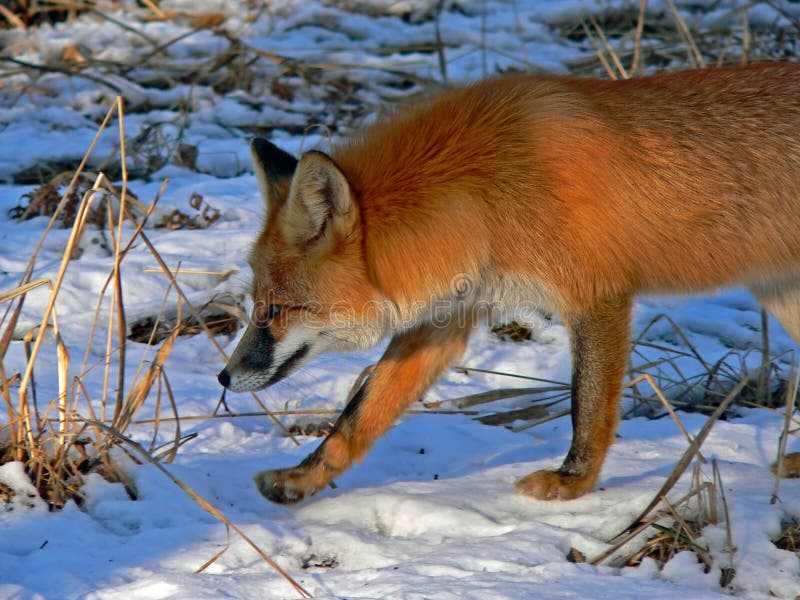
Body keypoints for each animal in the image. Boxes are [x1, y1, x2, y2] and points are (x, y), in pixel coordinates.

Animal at [217, 63, 800, 505]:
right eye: (257, 304)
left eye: (278, 308)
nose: (224, 376)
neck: (486, 194)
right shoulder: (449, 316)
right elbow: (359, 414)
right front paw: (304, 478)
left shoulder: (597, 295)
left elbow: (587, 406)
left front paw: (573, 482)